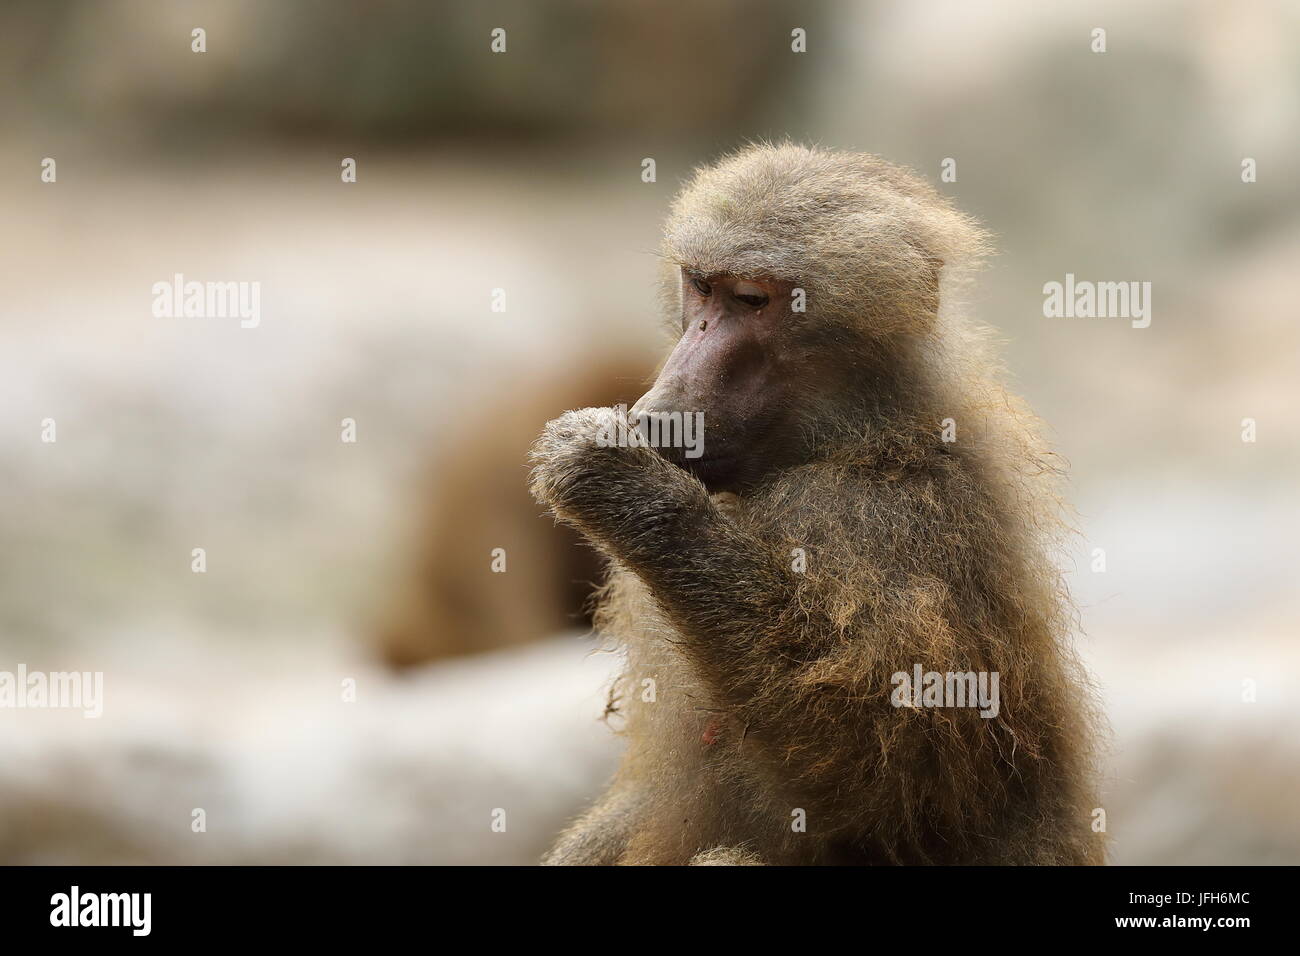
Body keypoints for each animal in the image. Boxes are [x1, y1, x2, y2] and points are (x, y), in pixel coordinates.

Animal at [529, 143, 1103, 865]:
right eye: (701, 287)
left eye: (752, 300)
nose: (663, 403)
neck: (846, 438)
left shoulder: (882, 520)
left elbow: (887, 775)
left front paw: (621, 483)